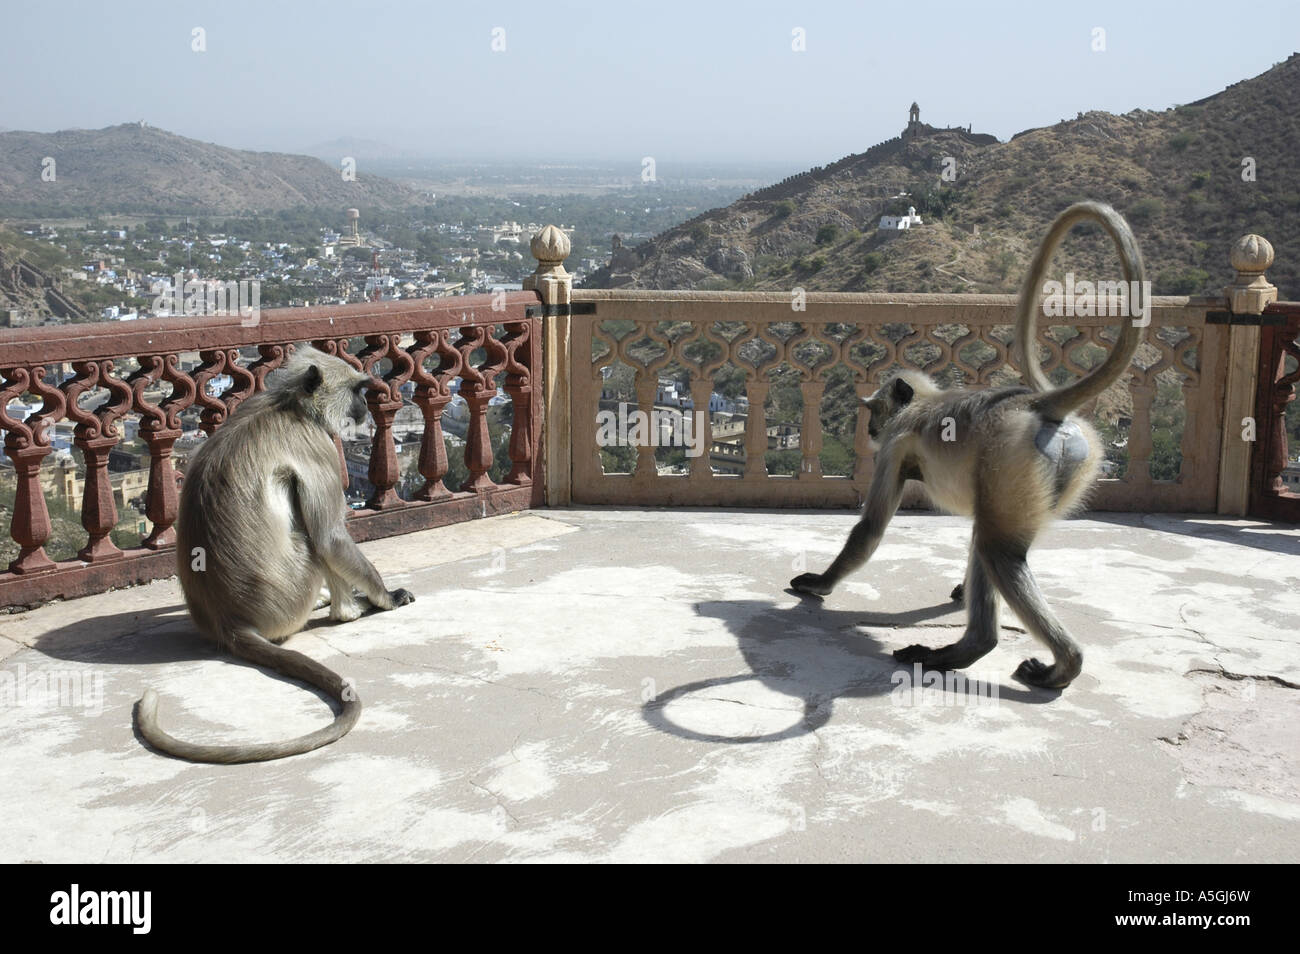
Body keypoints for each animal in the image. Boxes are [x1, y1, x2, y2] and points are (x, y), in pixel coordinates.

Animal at [135, 345, 415, 763]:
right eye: (357, 390)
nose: (365, 406)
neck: (290, 406)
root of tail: (228, 621)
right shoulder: (317, 447)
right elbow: (331, 539)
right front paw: (387, 597)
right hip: (288, 597)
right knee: (314, 536)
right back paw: (346, 610)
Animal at [791, 202, 1145, 689]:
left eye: (875, 412)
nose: (869, 429)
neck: (926, 404)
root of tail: (1039, 404)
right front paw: (960, 592)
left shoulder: (895, 445)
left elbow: (871, 529)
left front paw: (819, 584)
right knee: (988, 537)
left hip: (1013, 464)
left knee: (995, 549)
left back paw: (1003, 654)